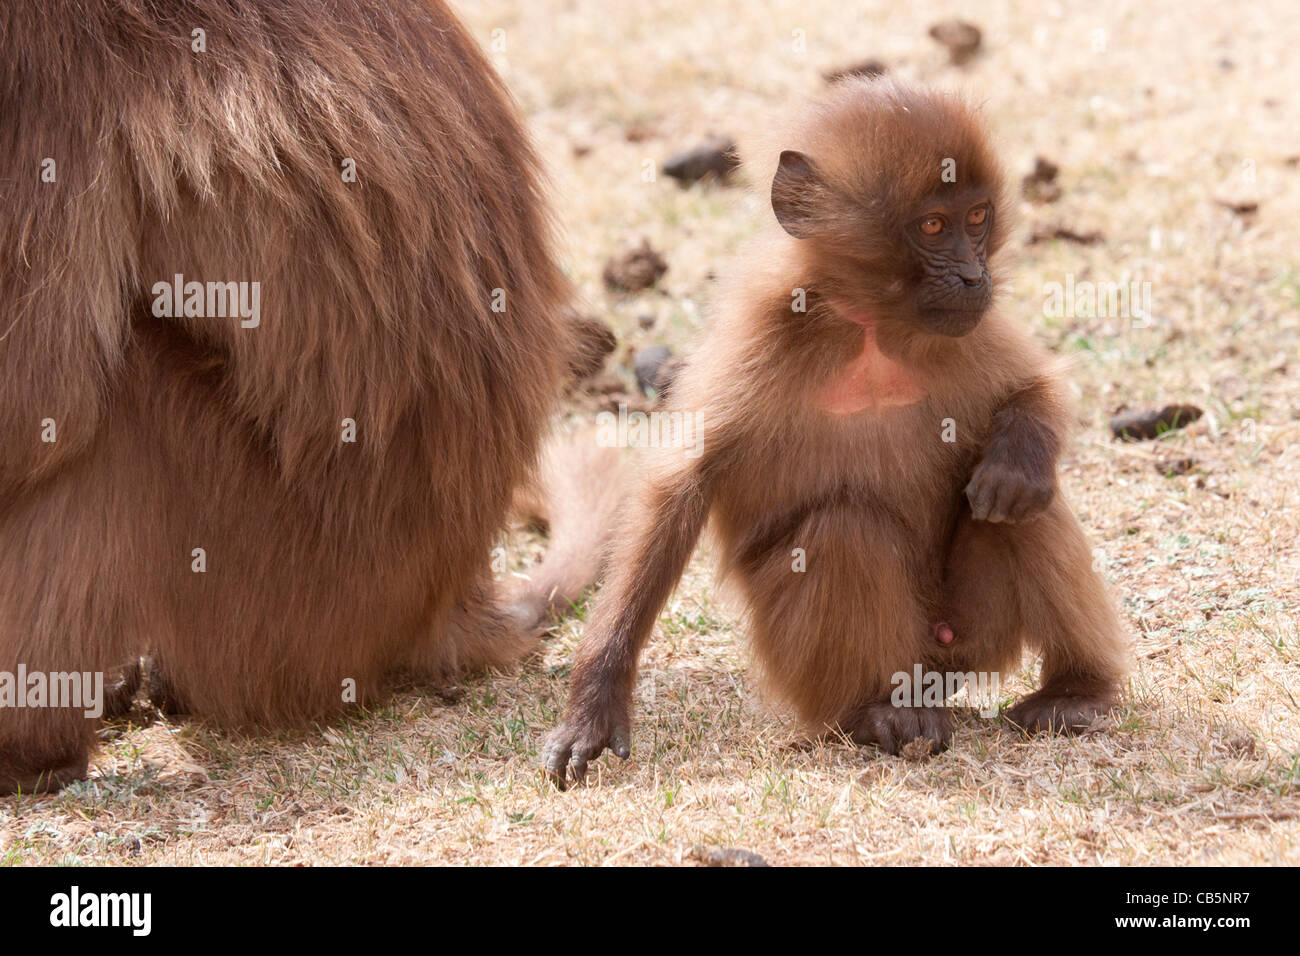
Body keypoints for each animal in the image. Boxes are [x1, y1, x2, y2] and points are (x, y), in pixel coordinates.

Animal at [0, 0, 573, 794]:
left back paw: (31, 752)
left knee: (112, 425)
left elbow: (36, 409)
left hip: (293, 597)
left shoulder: (43, 95)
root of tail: (445, 597)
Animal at [542, 77, 1129, 788]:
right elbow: (678, 491)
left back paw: (1077, 691)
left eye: (978, 217)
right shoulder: (760, 333)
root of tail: (935, 666)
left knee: (1025, 508)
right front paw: (594, 704)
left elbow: (1031, 392)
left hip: (971, 637)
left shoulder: (968, 325)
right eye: (934, 226)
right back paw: (878, 713)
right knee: (844, 528)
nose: (973, 277)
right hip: (822, 663)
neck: (869, 326)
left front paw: (1014, 458)